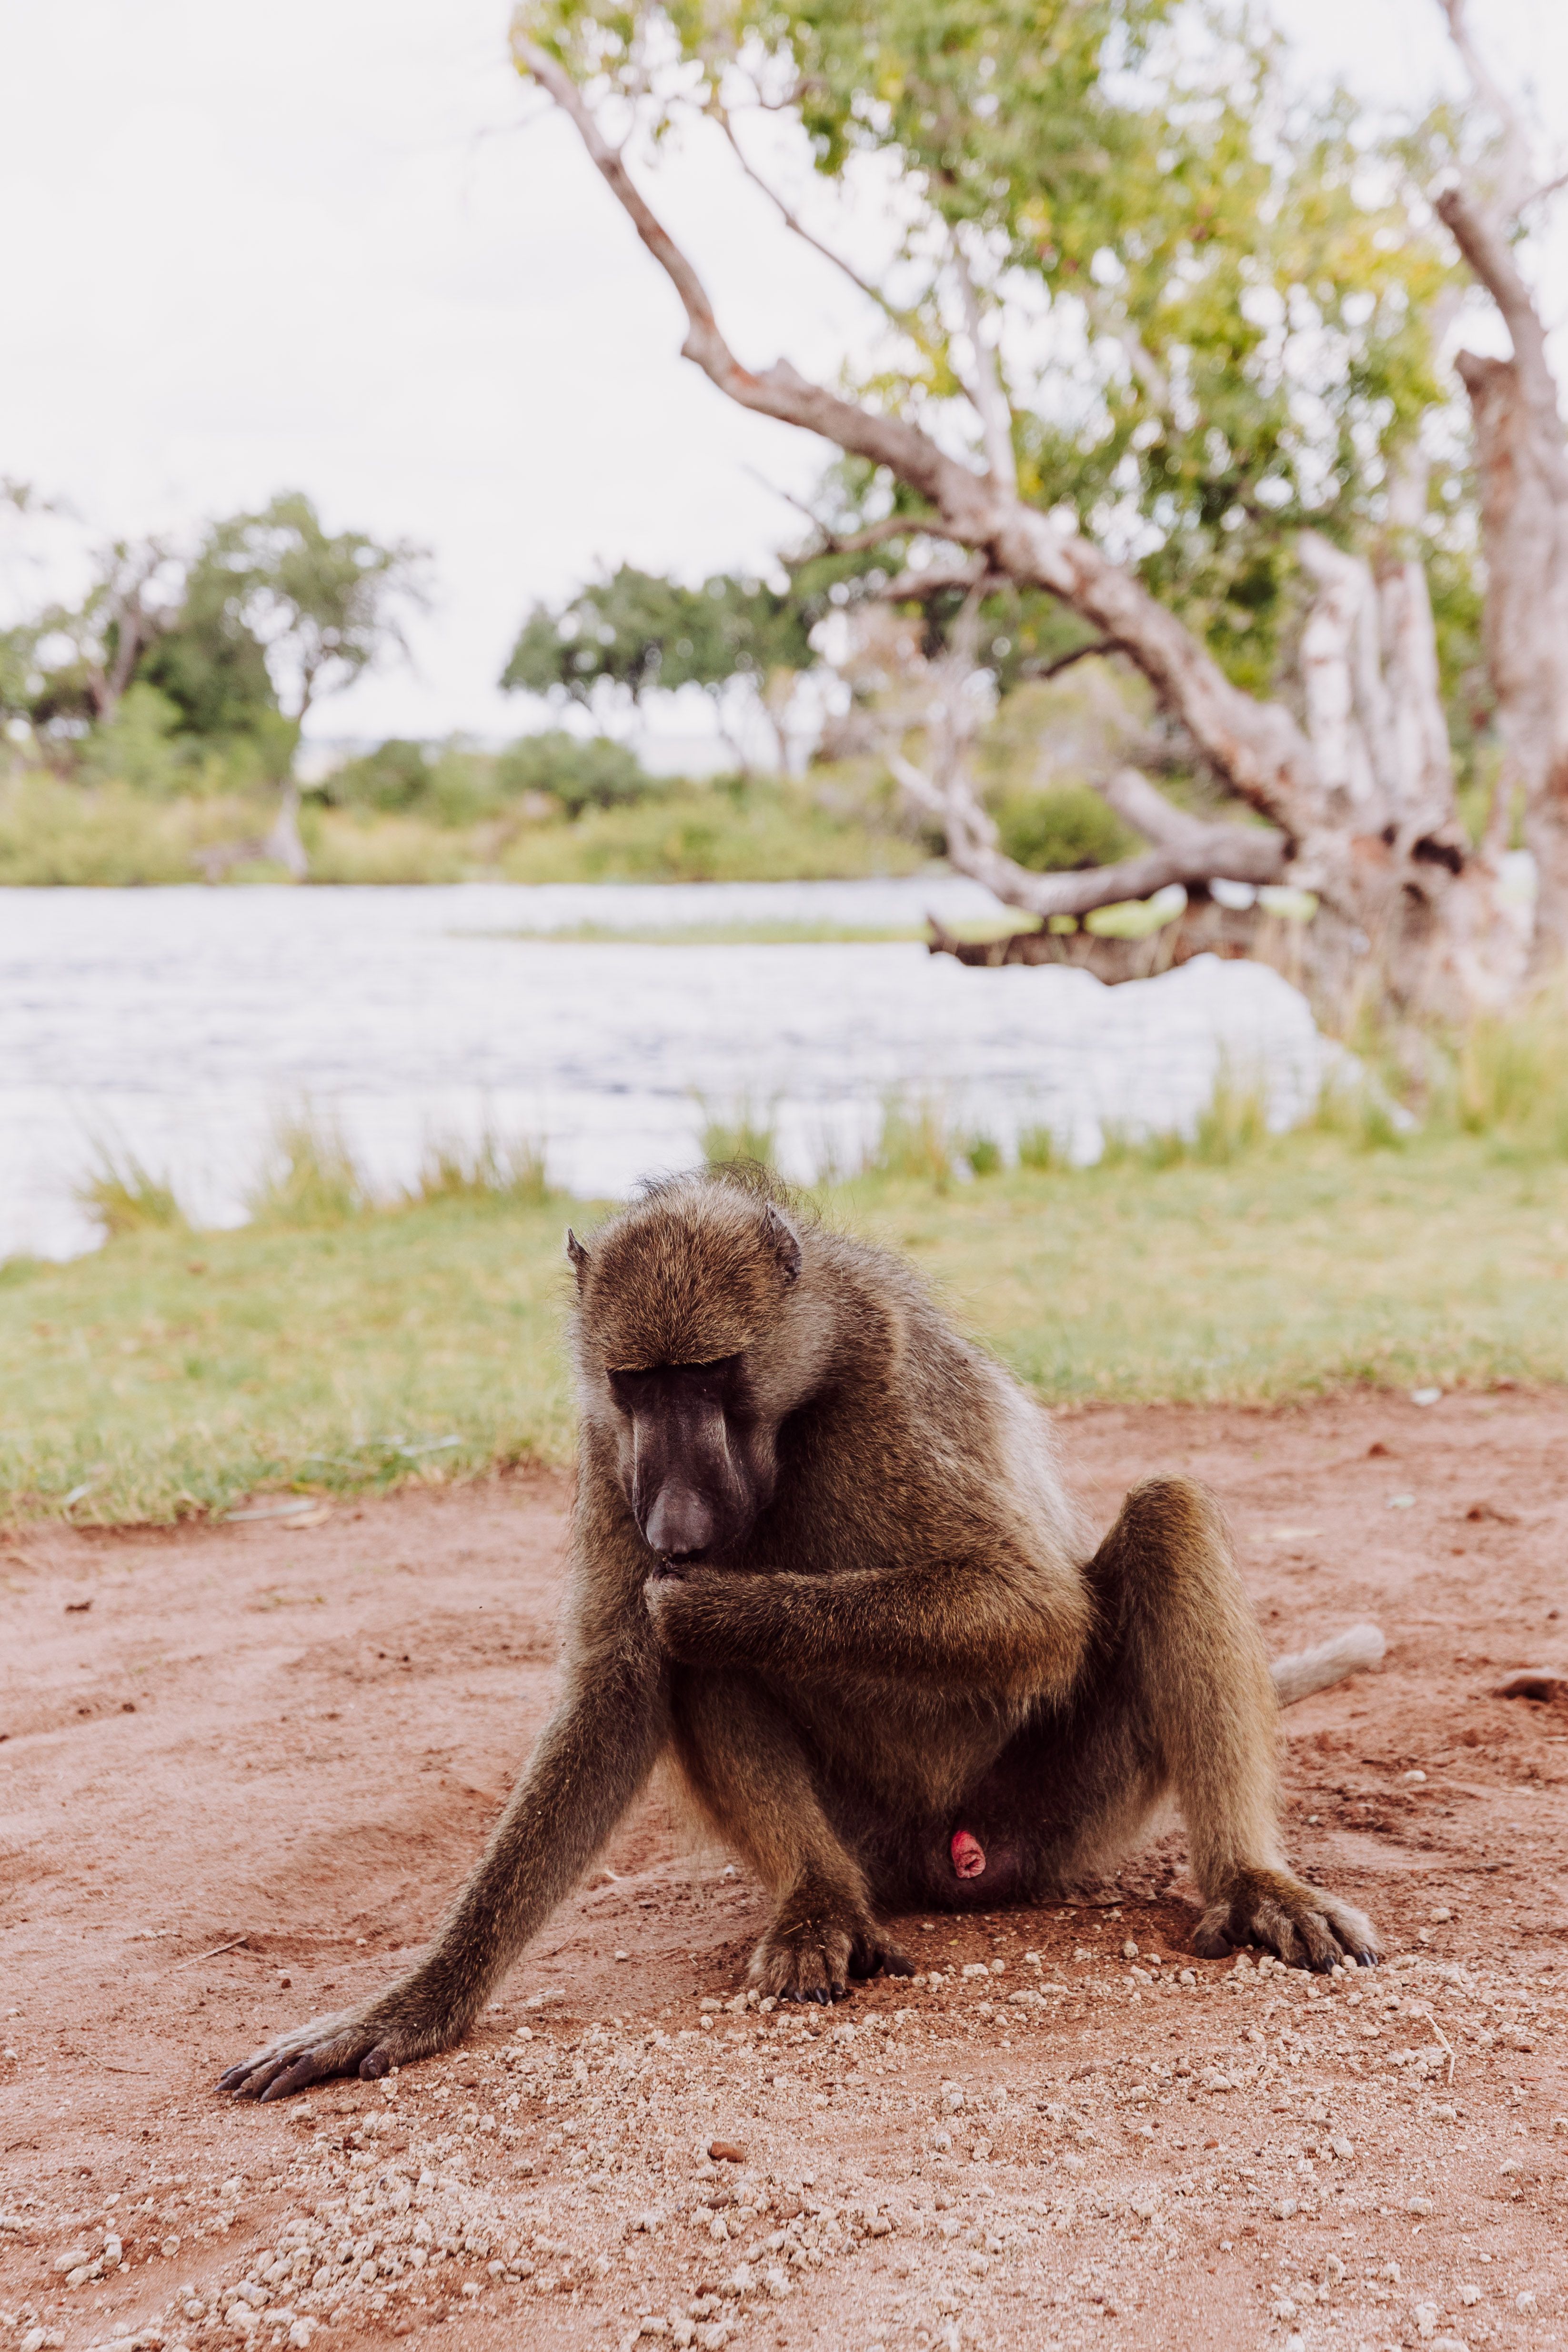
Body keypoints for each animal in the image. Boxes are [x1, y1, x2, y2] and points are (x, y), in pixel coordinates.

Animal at [219, 1170, 1383, 2101]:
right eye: (638, 1384)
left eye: (708, 1375)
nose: (676, 1526)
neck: (798, 1383)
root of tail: (956, 1858)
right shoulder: (604, 1447)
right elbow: (616, 1689)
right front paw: (410, 2007)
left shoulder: (887, 1380)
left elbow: (1034, 1608)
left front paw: (712, 1601)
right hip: (873, 1840)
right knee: (699, 1687)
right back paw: (818, 1910)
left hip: (1069, 1807)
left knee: (1165, 1517)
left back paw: (1253, 1886)